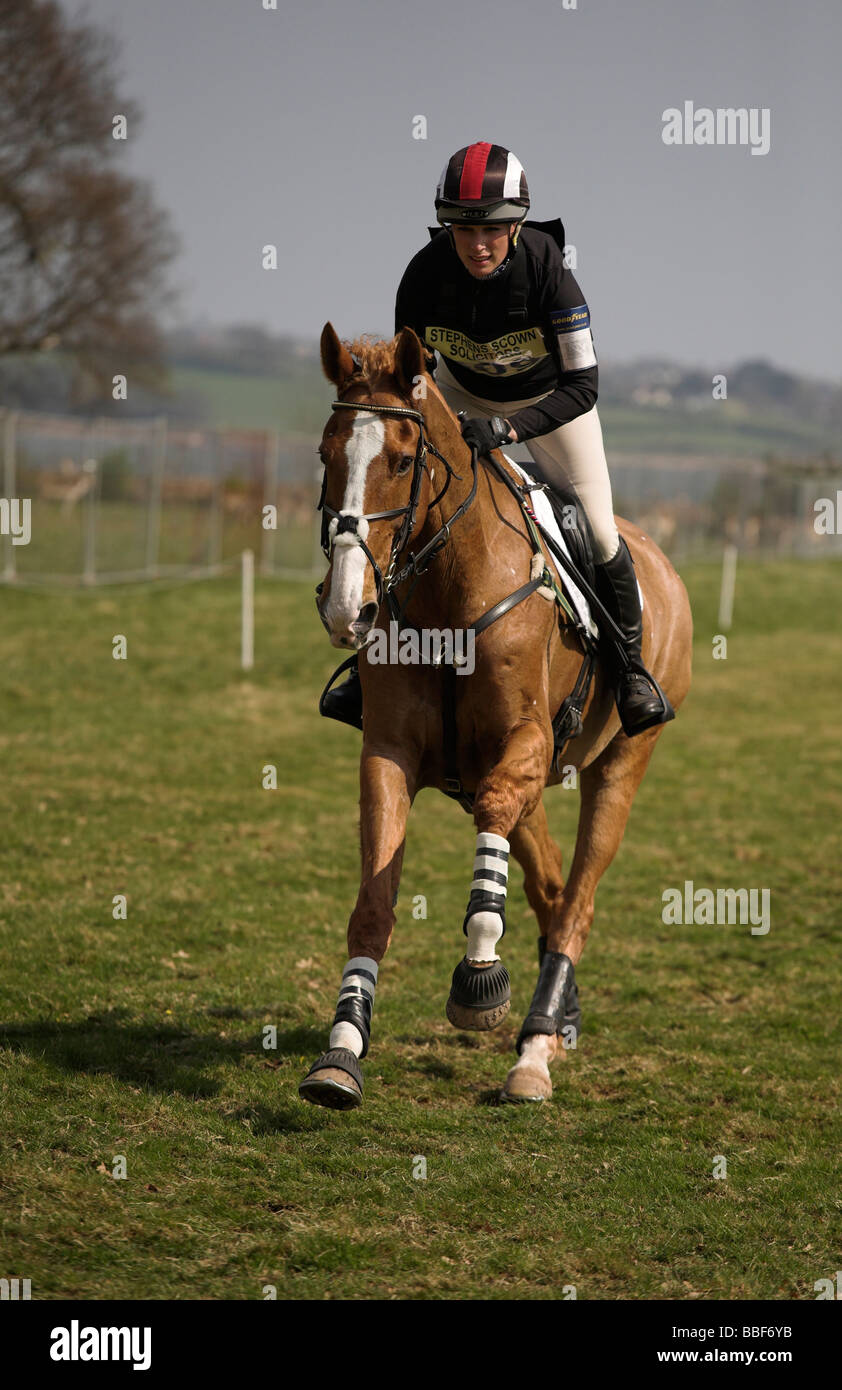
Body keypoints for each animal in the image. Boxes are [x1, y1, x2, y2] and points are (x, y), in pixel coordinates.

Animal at [298, 322, 692, 1108]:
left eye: (401, 460)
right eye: (327, 456)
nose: (345, 608)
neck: (450, 593)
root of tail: (663, 564)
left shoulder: (525, 744)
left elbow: (492, 864)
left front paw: (479, 981)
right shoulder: (391, 754)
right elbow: (374, 902)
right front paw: (341, 1052)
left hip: (623, 761)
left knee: (575, 902)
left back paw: (534, 1052)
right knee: (549, 888)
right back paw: (557, 1023)